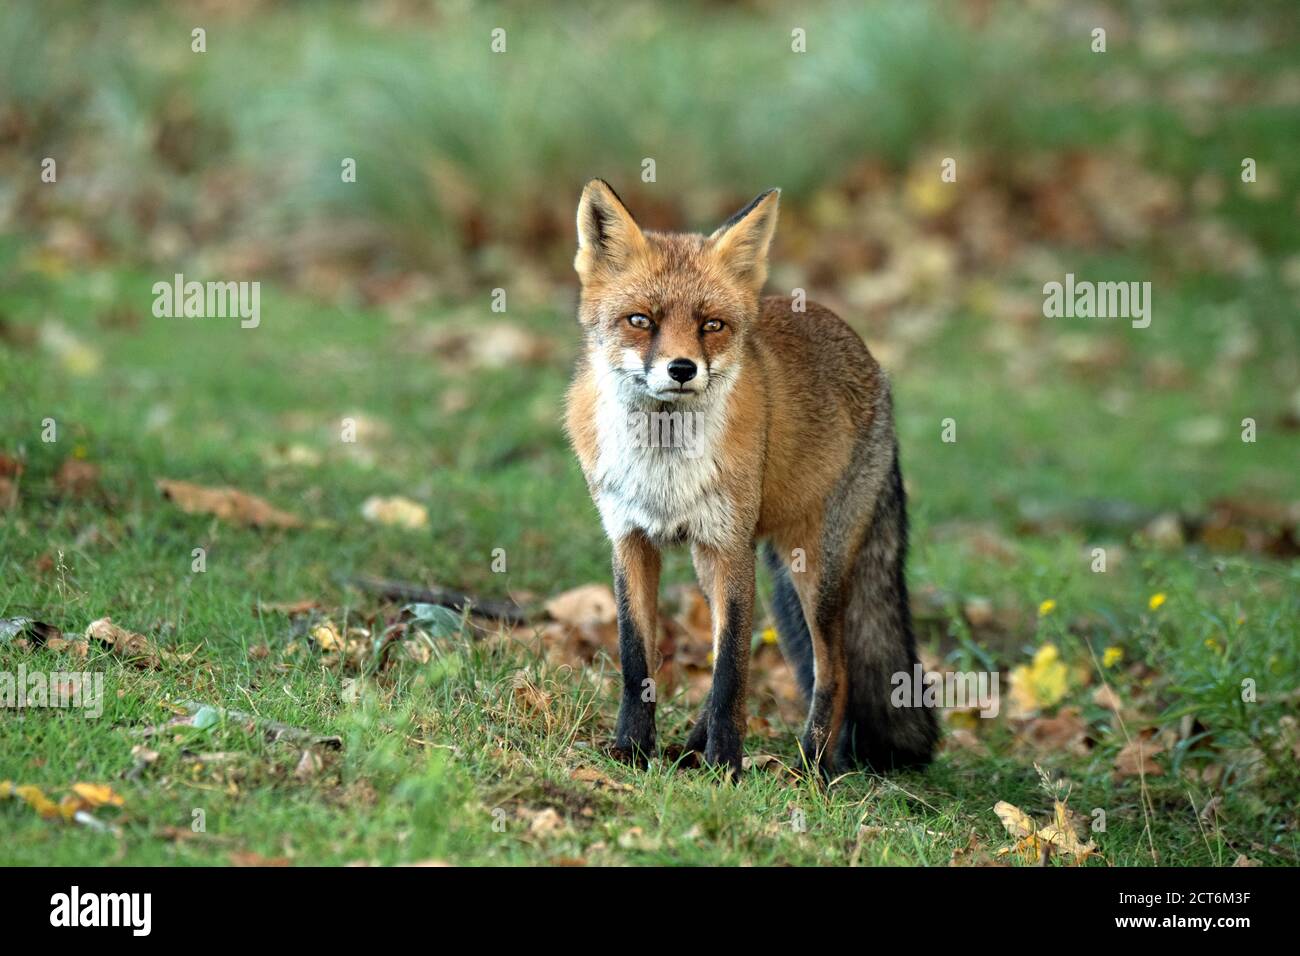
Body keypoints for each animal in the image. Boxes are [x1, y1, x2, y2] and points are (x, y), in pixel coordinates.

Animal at [563, 179, 938, 776]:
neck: (663, 464)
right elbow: (637, 659)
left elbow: (731, 672)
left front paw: (726, 767)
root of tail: (873, 363)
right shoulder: (631, 539)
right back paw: (692, 749)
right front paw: (633, 751)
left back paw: (809, 767)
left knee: (835, 670)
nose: (682, 369)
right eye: (641, 320)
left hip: (813, 568)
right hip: (722, 563)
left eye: (711, 325)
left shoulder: (731, 545)